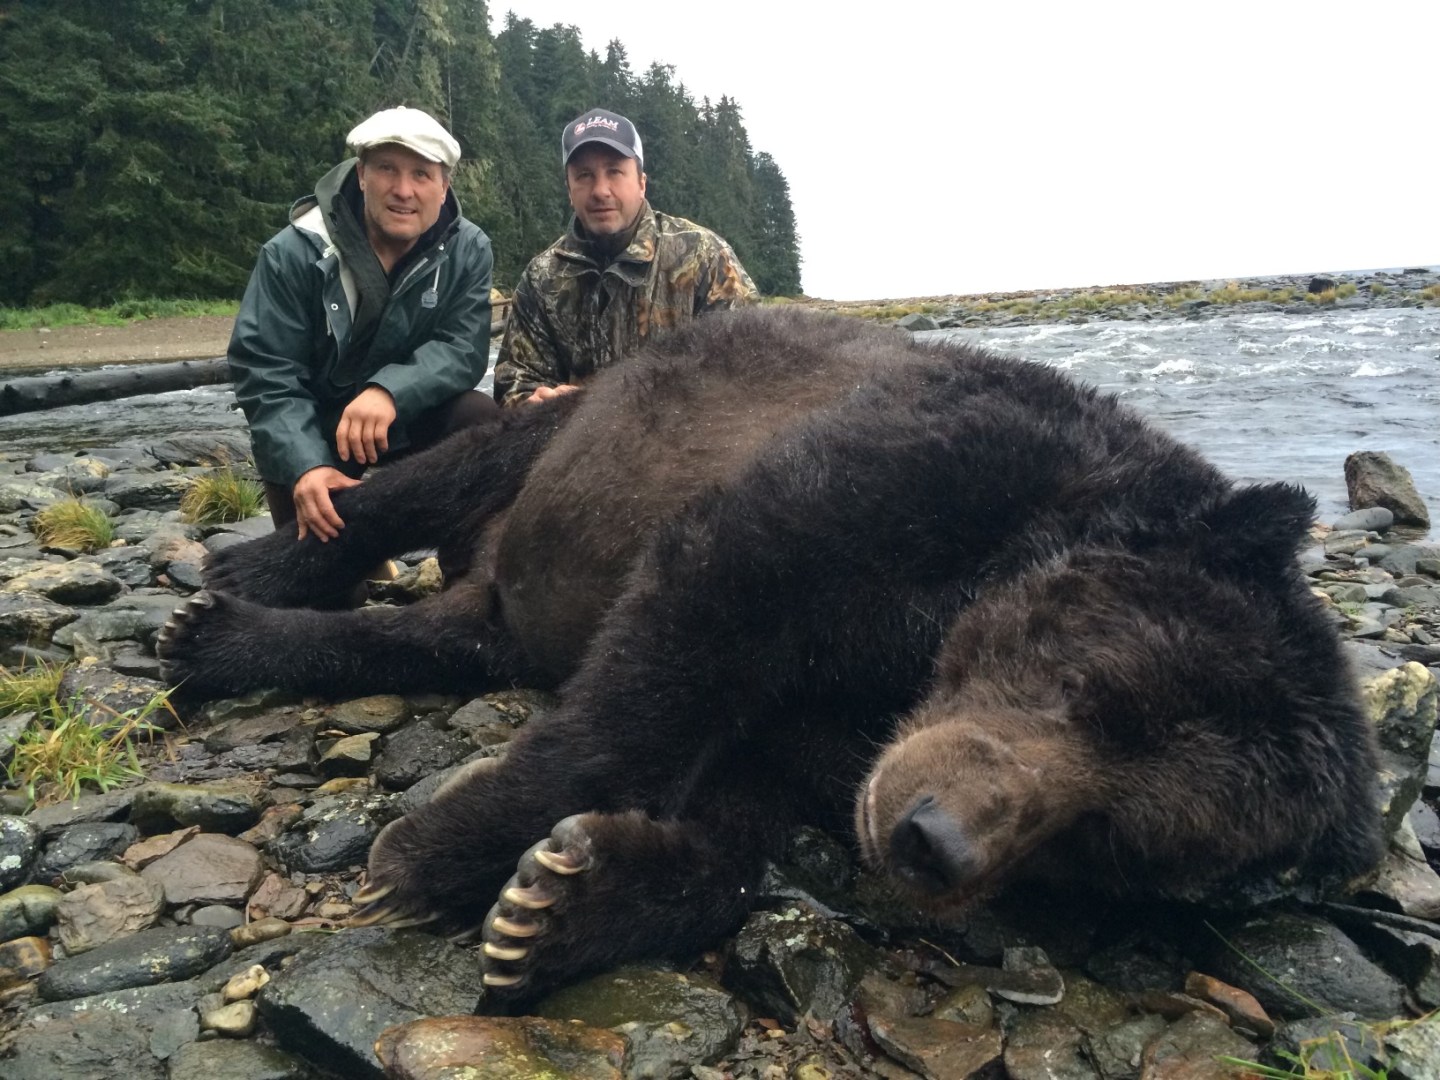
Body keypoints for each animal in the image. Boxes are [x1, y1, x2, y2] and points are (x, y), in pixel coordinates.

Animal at [157, 305, 1382, 1005]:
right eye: (1094, 689)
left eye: (1118, 841)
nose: (932, 840)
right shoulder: (911, 470)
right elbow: (684, 639)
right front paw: (437, 854)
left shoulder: (838, 737)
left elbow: (739, 816)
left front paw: (556, 902)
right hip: (566, 430)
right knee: (421, 485)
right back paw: (235, 587)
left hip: (502, 596)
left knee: (446, 634)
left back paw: (236, 640)